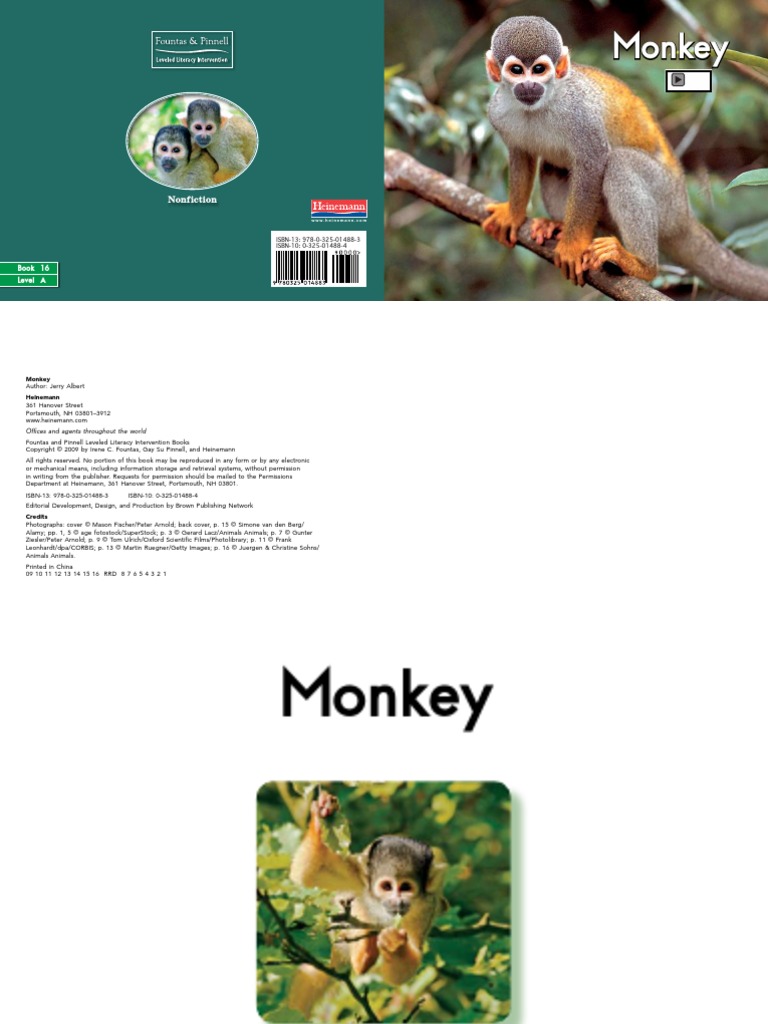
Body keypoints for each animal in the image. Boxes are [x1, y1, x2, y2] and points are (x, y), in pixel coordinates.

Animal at [285, 790, 448, 1016]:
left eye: (406, 887)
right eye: (387, 886)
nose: (397, 901)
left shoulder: (425, 906)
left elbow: (406, 965)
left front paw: (395, 947)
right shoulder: (357, 876)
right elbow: (308, 872)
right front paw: (322, 816)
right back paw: (363, 955)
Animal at [482, 15, 768, 299]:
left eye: (539, 69)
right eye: (517, 71)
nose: (529, 85)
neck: (538, 107)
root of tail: (684, 215)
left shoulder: (579, 114)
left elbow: (594, 161)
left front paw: (573, 246)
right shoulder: (497, 112)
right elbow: (521, 157)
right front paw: (513, 215)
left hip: (667, 198)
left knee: (620, 164)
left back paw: (641, 265)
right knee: (553, 168)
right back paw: (557, 225)